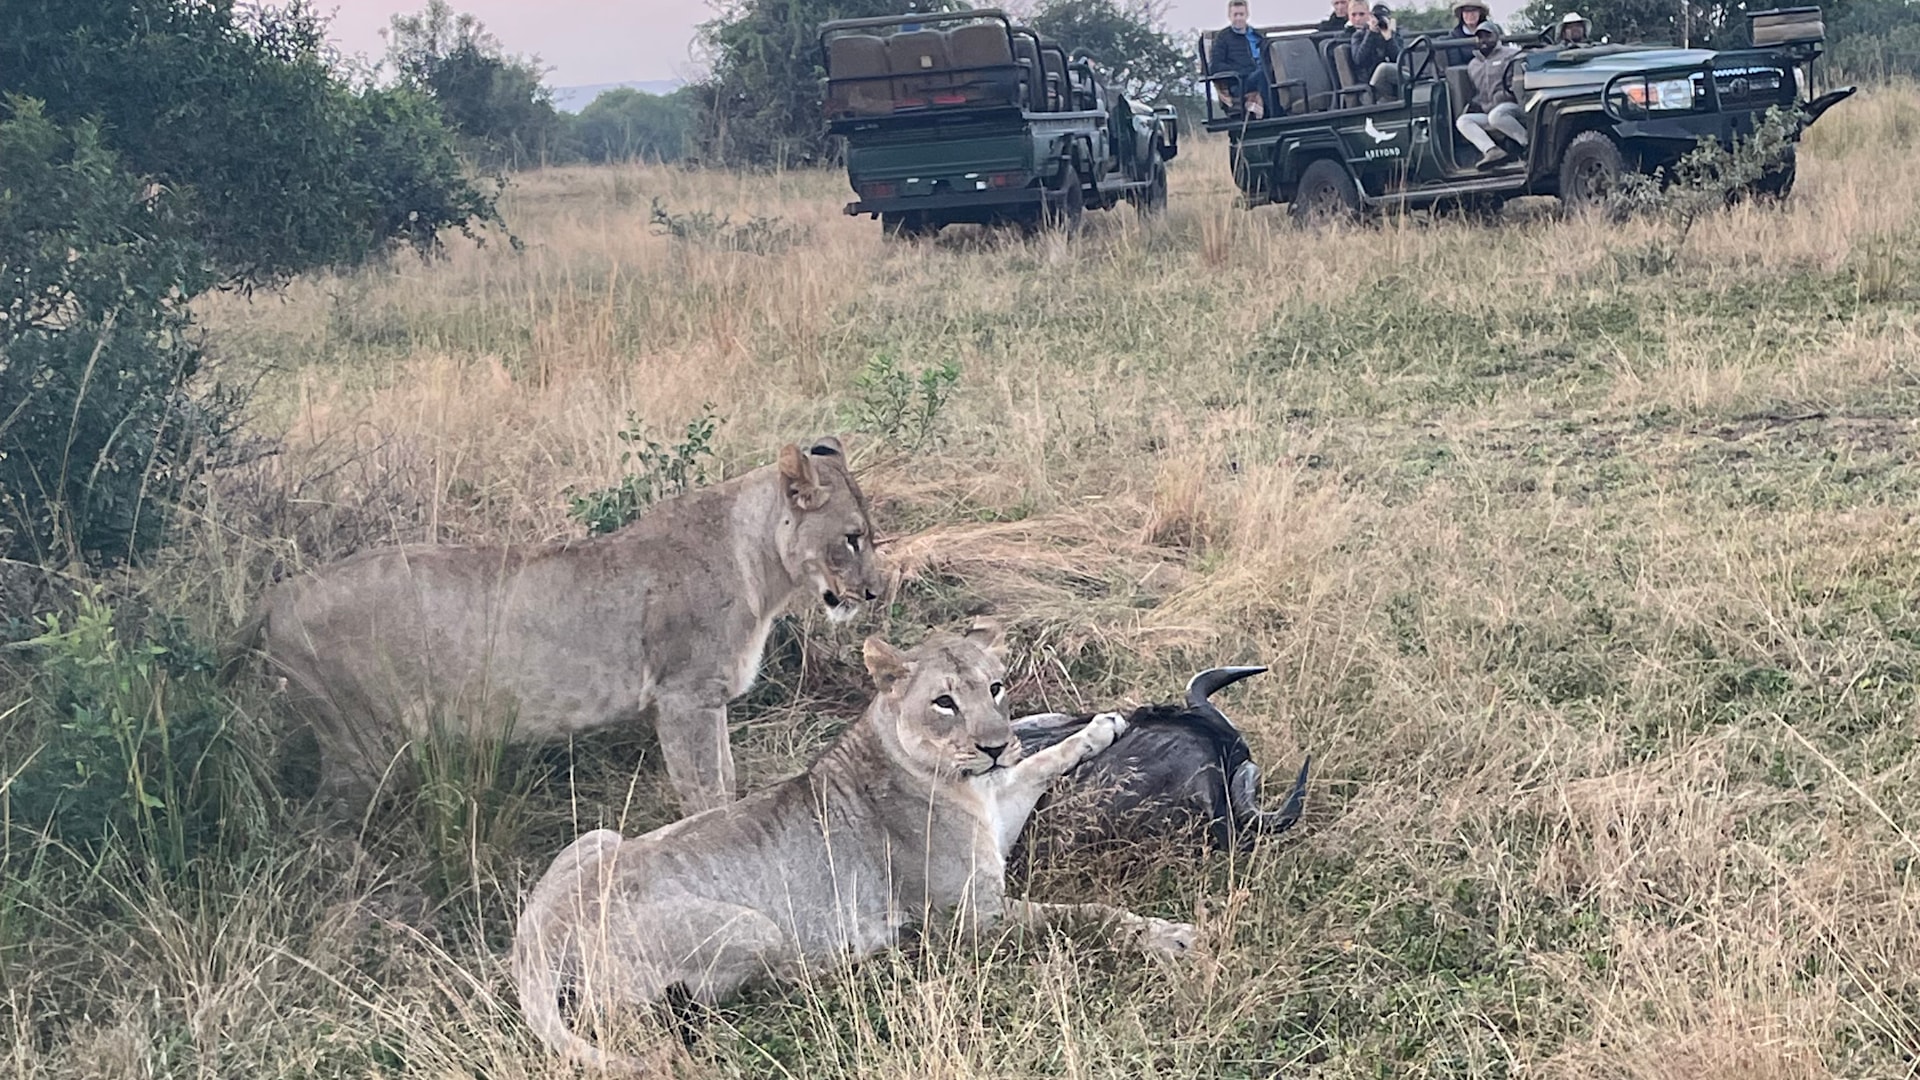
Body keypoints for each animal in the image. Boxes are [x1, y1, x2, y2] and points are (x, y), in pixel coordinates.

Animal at [224, 436, 886, 818]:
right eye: (852, 537)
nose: (875, 593)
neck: (759, 567)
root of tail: (278, 594)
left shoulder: (705, 702)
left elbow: (724, 777)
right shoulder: (683, 699)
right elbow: (708, 793)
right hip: (358, 742)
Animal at [509, 620, 1200, 1074]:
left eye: (997, 688)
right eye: (944, 702)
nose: (994, 743)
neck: (955, 779)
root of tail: (536, 939)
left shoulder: (994, 820)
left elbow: (1038, 767)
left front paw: (1101, 728)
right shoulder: (969, 918)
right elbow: (1085, 917)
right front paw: (1167, 936)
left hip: (595, 836)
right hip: (753, 929)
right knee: (743, 986)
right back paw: (867, 952)